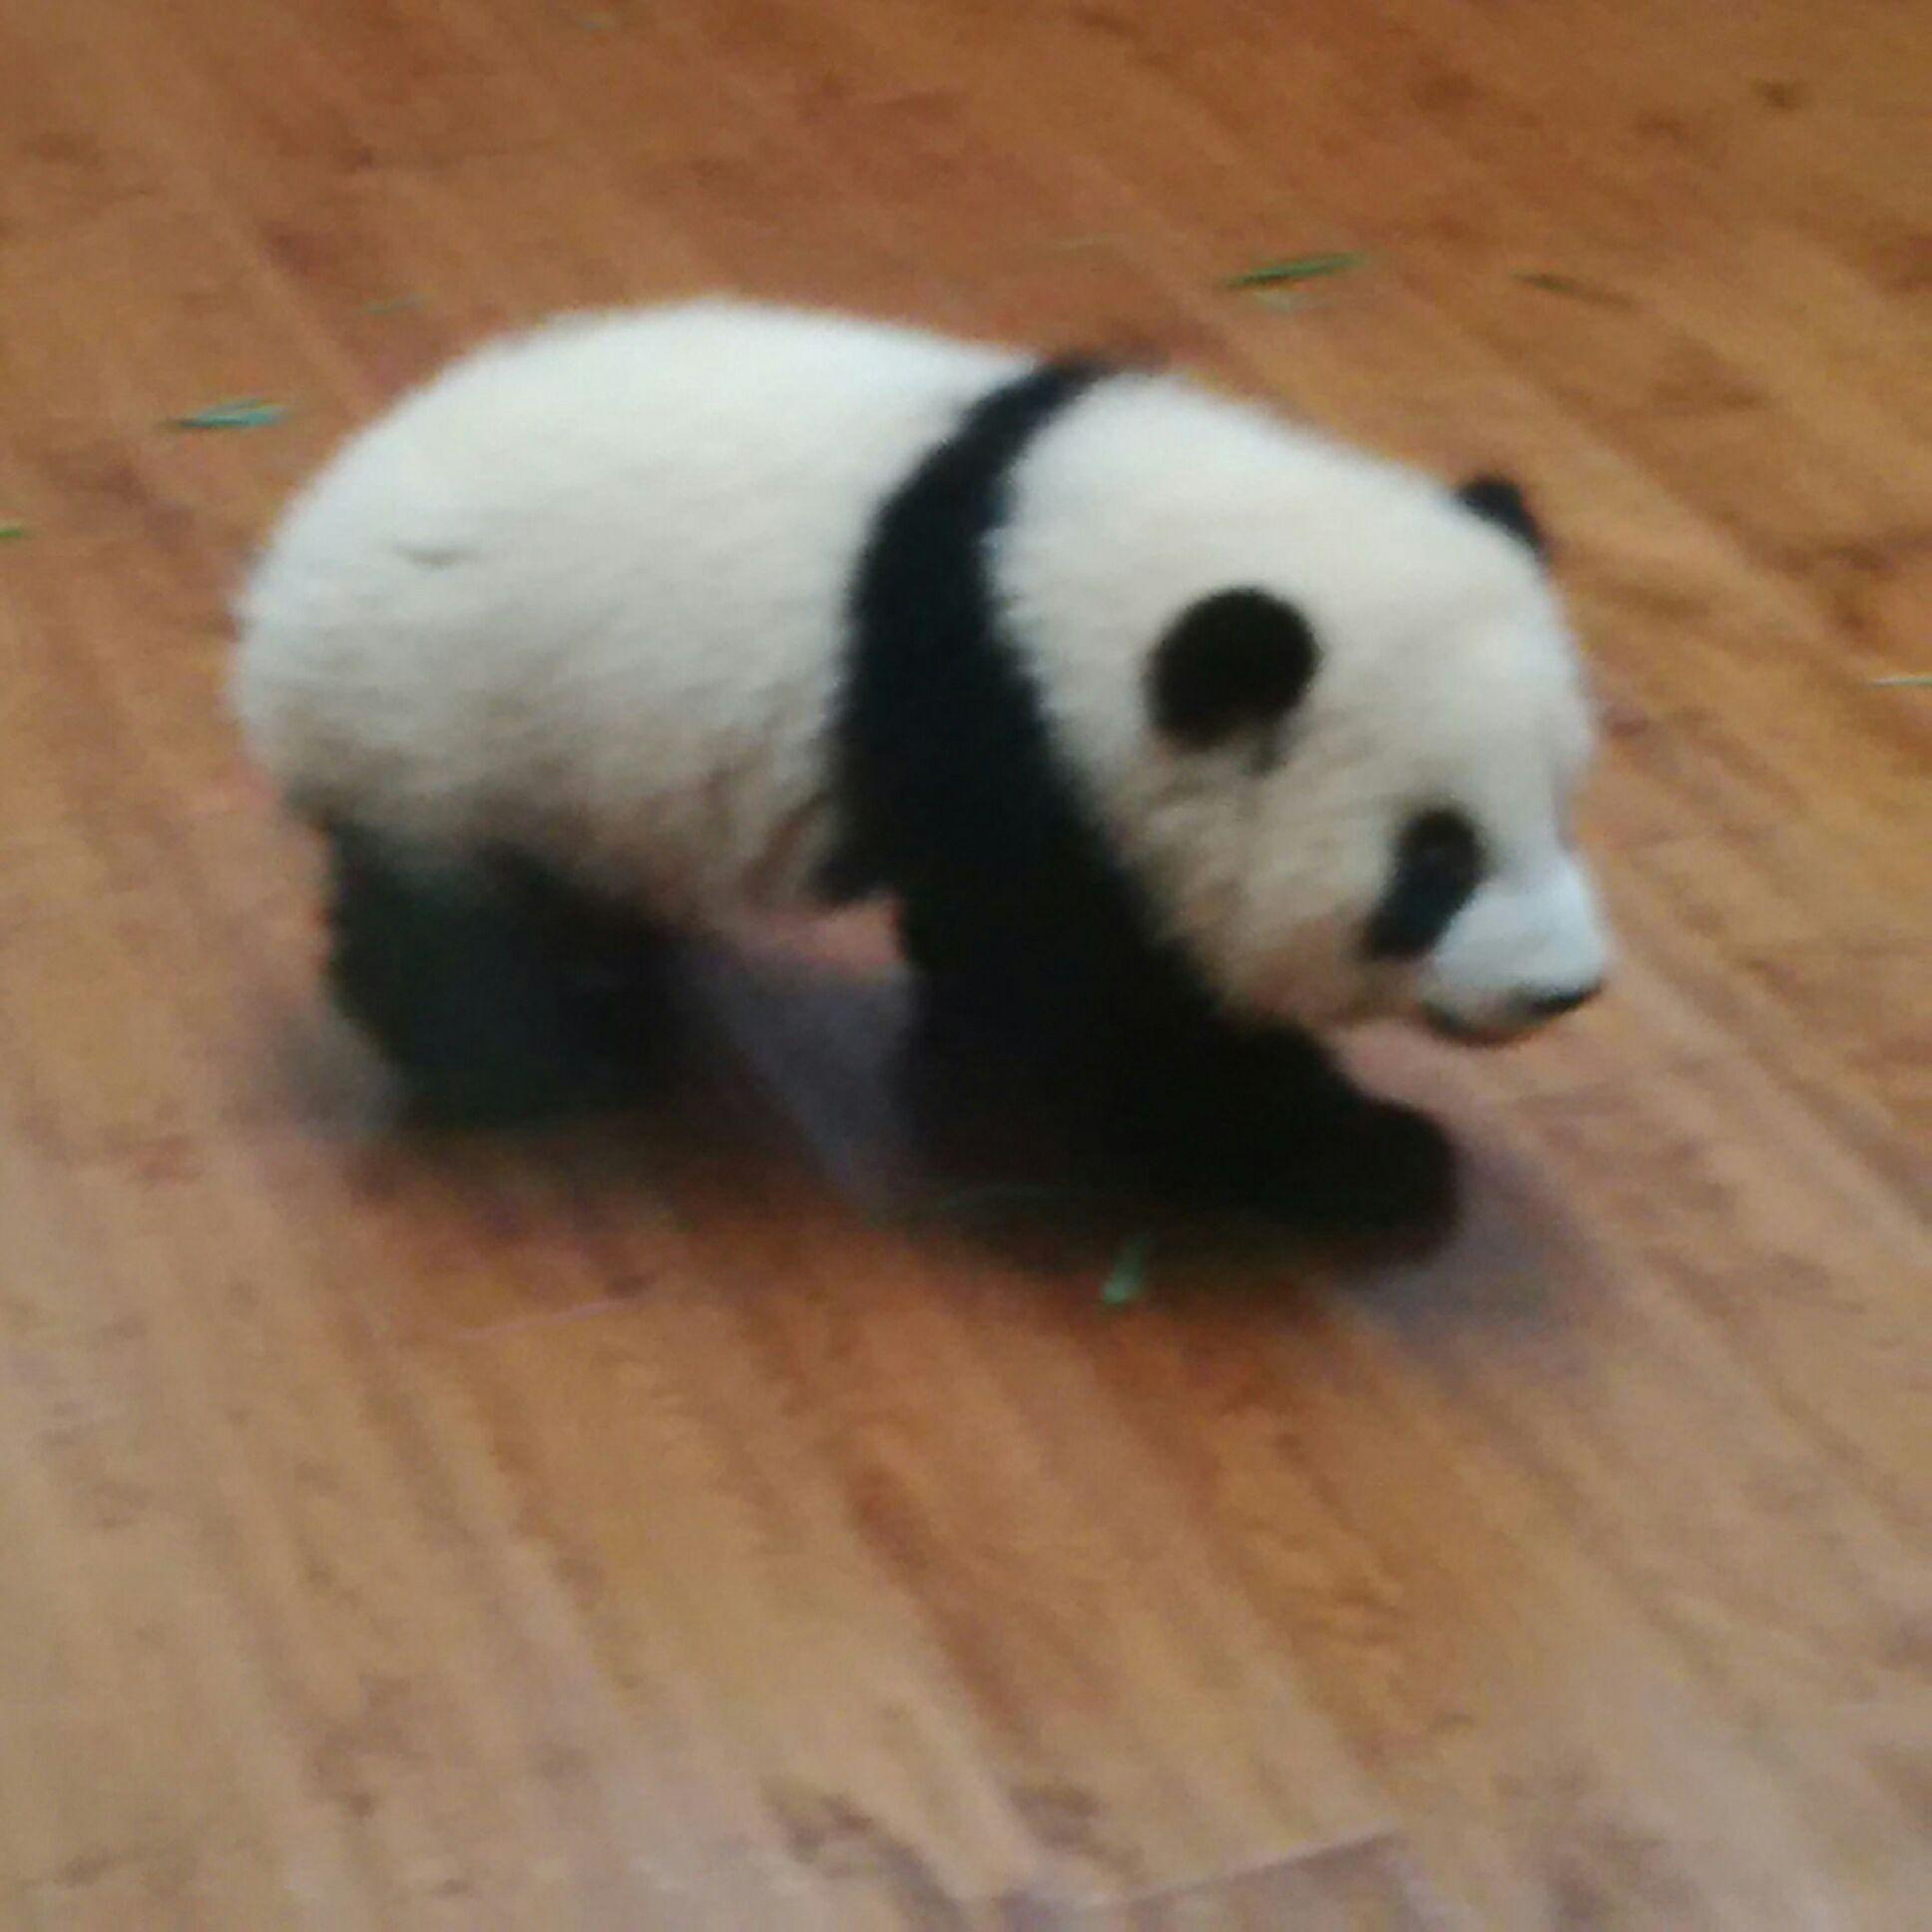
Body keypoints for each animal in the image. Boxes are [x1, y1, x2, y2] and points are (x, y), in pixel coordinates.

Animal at [233, 298, 1609, 1232]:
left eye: (1556, 808)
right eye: (1434, 859)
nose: (1565, 989)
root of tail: (279, 596)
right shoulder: (991, 723)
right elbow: (1089, 1002)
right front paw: (1361, 1156)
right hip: (443, 728)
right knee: (443, 928)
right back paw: (536, 1058)